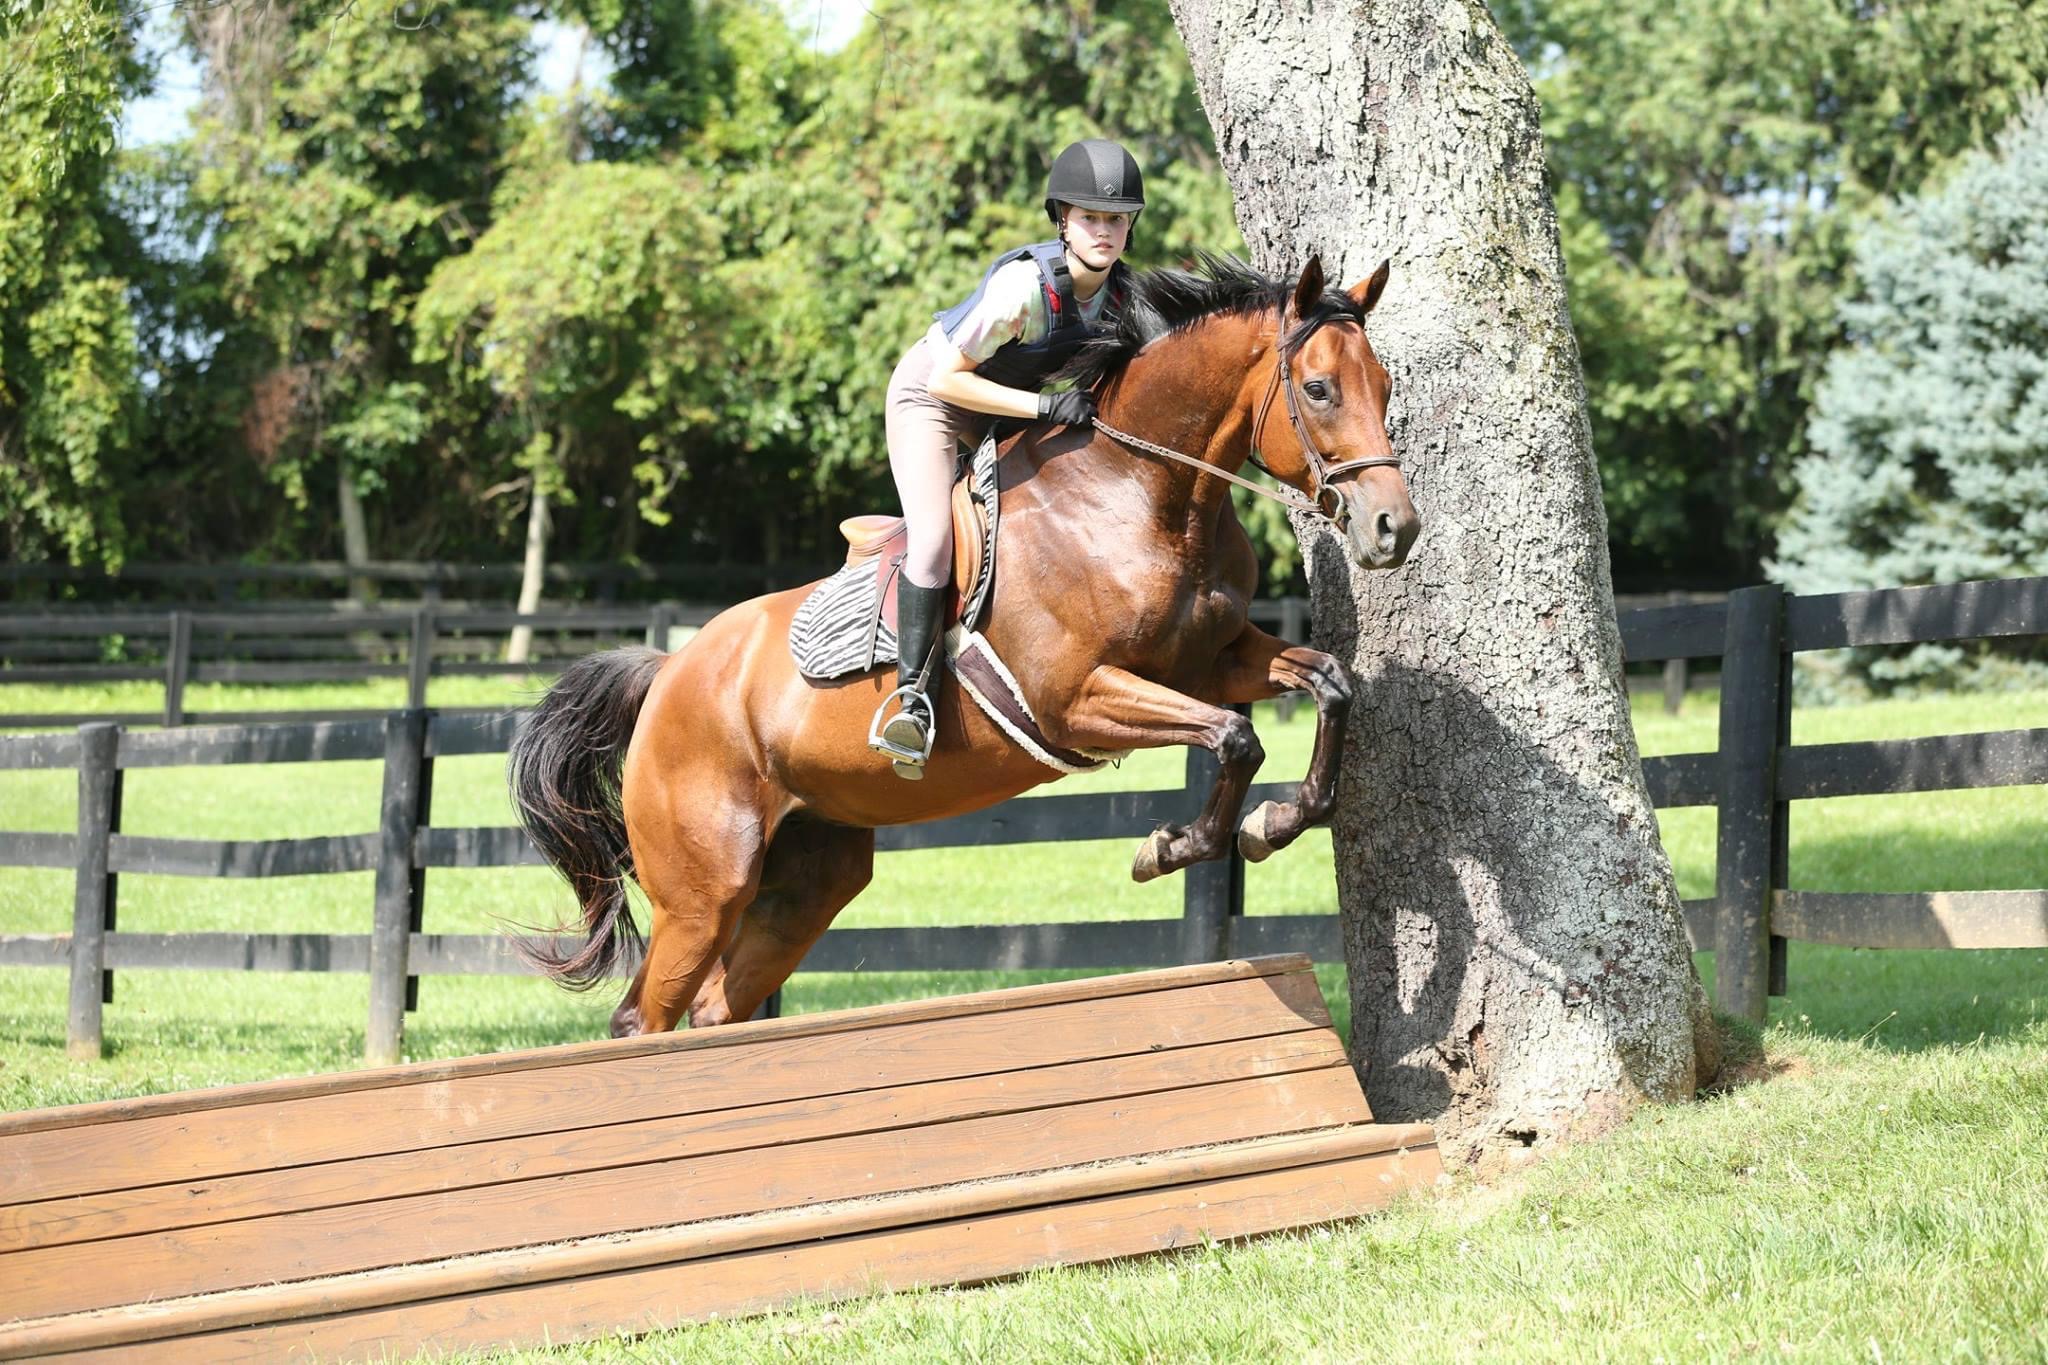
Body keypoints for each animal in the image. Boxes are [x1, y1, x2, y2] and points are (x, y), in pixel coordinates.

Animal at [509, 252, 1420, 1036]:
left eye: (1384, 385)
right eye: (1318, 388)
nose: (1395, 528)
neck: (1144, 494)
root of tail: (671, 670)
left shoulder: (1214, 661)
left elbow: (1327, 683)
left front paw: (1274, 822)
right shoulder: (1076, 699)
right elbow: (1234, 737)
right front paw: (1171, 847)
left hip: (806, 880)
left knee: (716, 1008)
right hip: (704, 891)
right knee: (644, 1016)